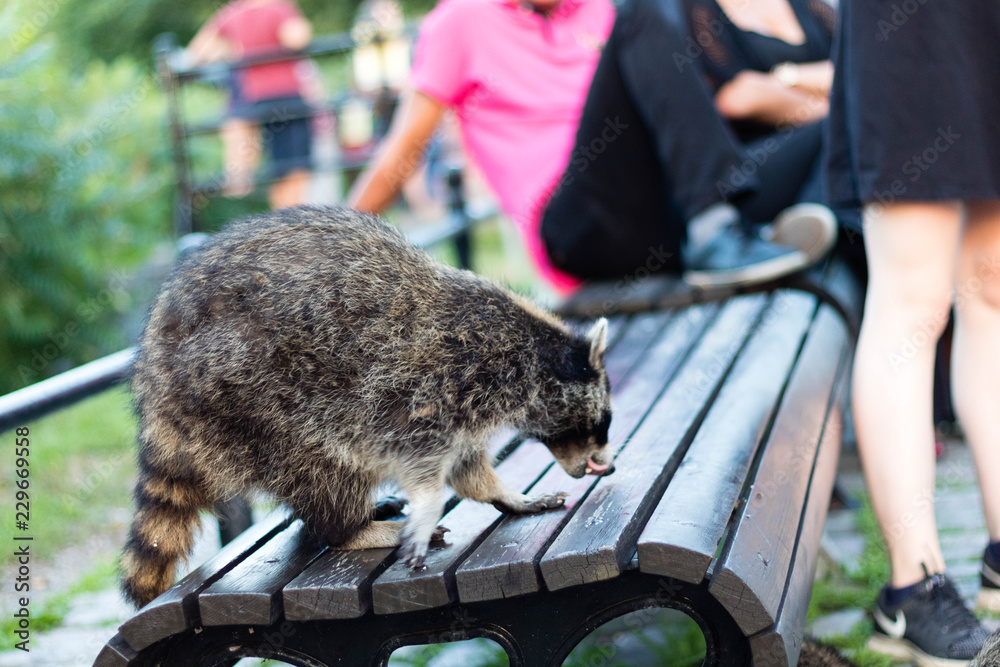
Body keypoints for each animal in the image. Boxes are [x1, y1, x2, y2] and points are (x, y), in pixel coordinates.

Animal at [121, 206, 614, 608]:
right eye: (602, 423)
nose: (607, 465)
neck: (531, 351)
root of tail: (154, 384)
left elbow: (466, 467)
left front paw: (504, 493)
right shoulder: (433, 377)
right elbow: (419, 454)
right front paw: (430, 502)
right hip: (249, 400)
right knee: (326, 465)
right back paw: (350, 530)